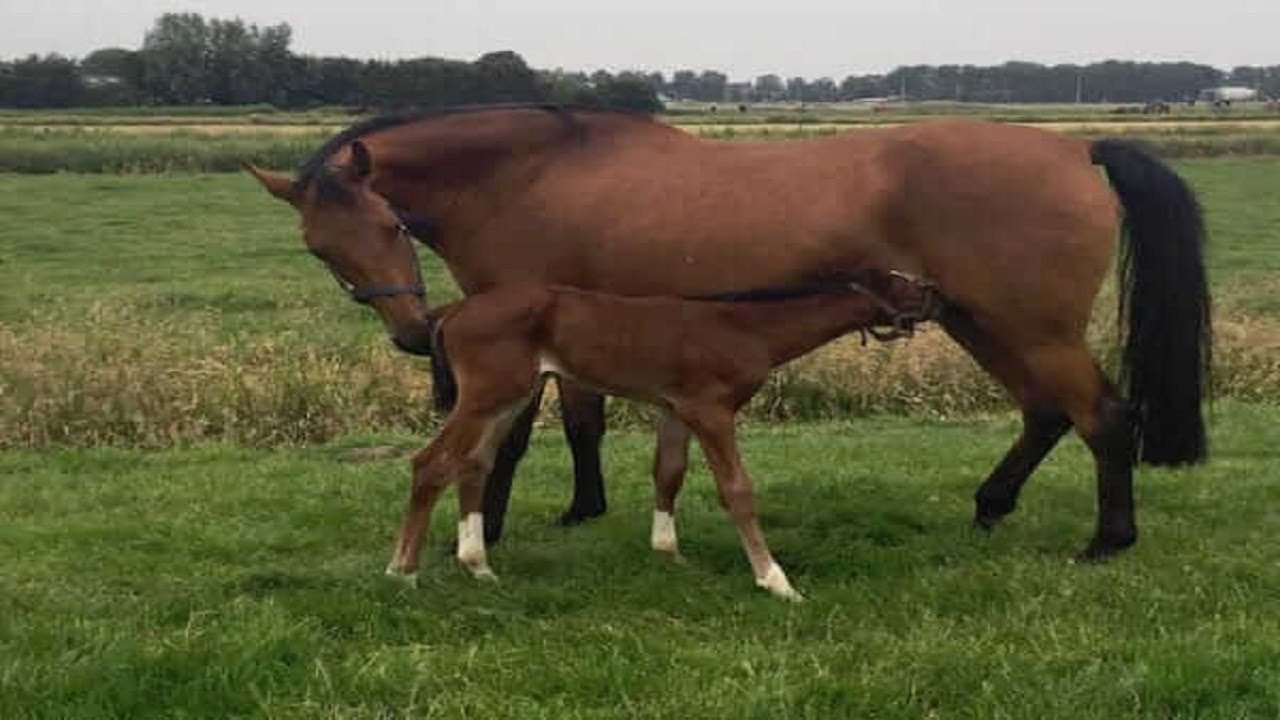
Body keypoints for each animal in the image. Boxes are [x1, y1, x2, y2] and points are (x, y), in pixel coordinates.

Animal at [245, 103, 1211, 561]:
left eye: (387, 224)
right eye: (320, 247)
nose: (412, 331)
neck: (528, 173)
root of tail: (1074, 146)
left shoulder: (521, 337)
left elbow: (512, 439)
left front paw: (499, 527)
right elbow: (585, 424)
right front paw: (584, 508)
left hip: (1026, 326)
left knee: (1102, 419)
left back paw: (1106, 541)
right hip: (976, 320)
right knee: (1047, 415)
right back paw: (991, 504)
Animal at [383, 270, 941, 600]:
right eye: (904, 283)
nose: (936, 294)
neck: (744, 326)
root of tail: (452, 311)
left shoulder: (676, 409)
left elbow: (668, 473)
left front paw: (670, 554)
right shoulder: (711, 410)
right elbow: (737, 490)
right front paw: (775, 580)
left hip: (509, 396)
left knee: (473, 463)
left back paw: (478, 566)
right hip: (488, 394)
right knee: (431, 463)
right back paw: (403, 572)